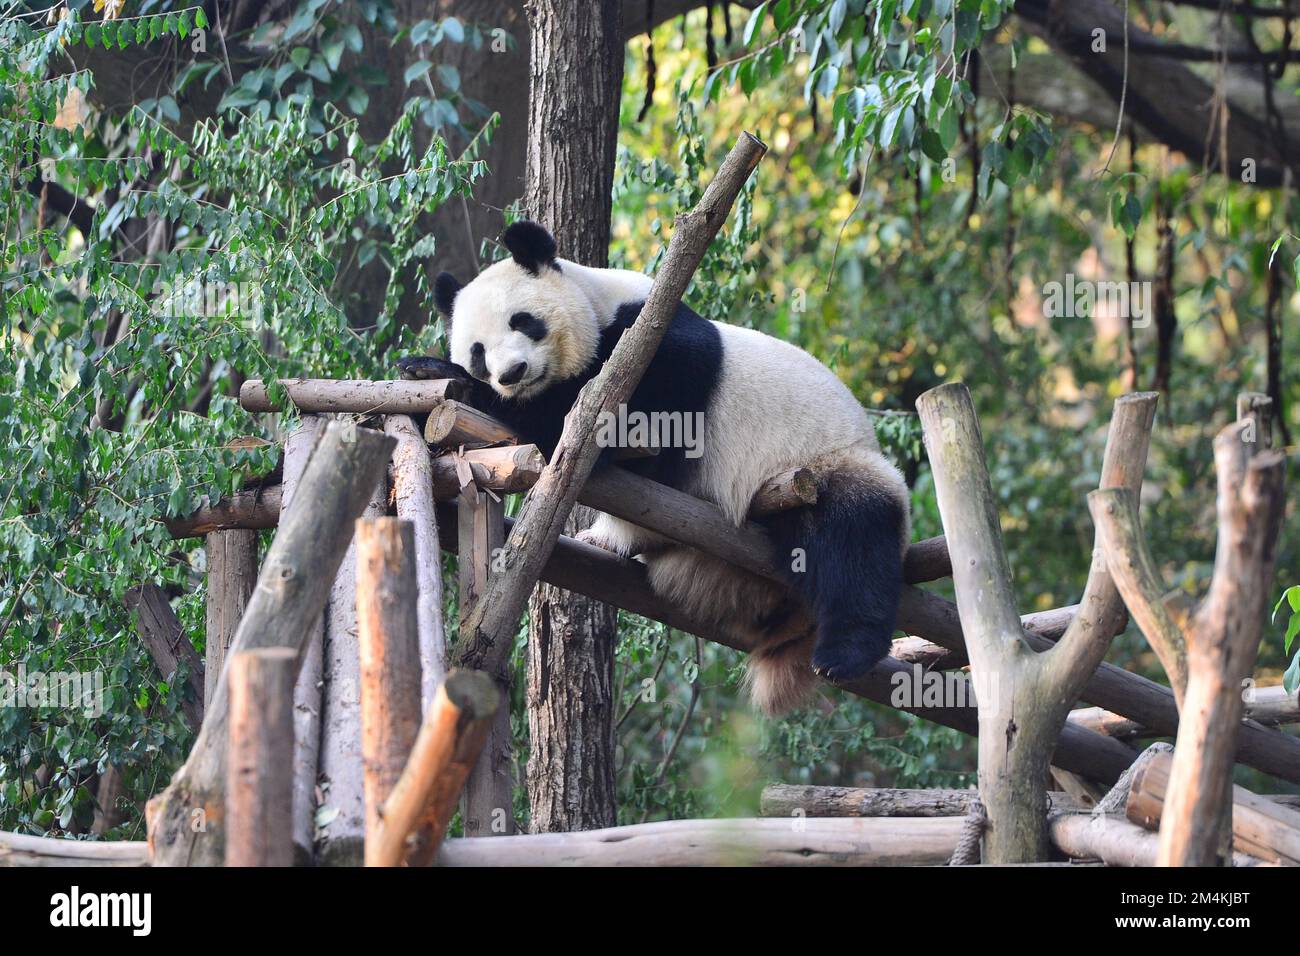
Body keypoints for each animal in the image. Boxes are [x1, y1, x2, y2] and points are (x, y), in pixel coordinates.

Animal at [399, 221, 911, 715]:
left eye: (523, 321)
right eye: (479, 351)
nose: (510, 374)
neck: (603, 308)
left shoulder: (655, 352)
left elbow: (589, 422)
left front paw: (442, 373)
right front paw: (428, 375)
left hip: (816, 465)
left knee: (853, 533)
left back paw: (845, 652)